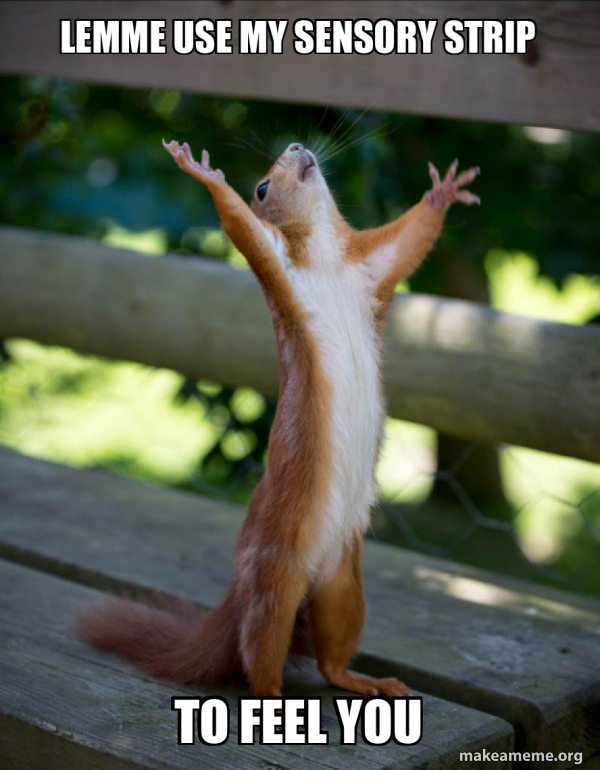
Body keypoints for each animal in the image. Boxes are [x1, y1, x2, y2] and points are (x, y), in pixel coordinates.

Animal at [78, 139, 479, 698]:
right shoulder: (277, 264)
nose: (296, 146)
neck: (327, 258)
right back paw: (275, 695)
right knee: (259, 658)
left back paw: (364, 680)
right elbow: (240, 226)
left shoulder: (372, 267)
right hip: (273, 583)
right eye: (262, 187)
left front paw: (442, 193)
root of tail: (238, 595)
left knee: (331, 656)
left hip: (344, 586)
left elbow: (410, 239)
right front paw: (203, 173)